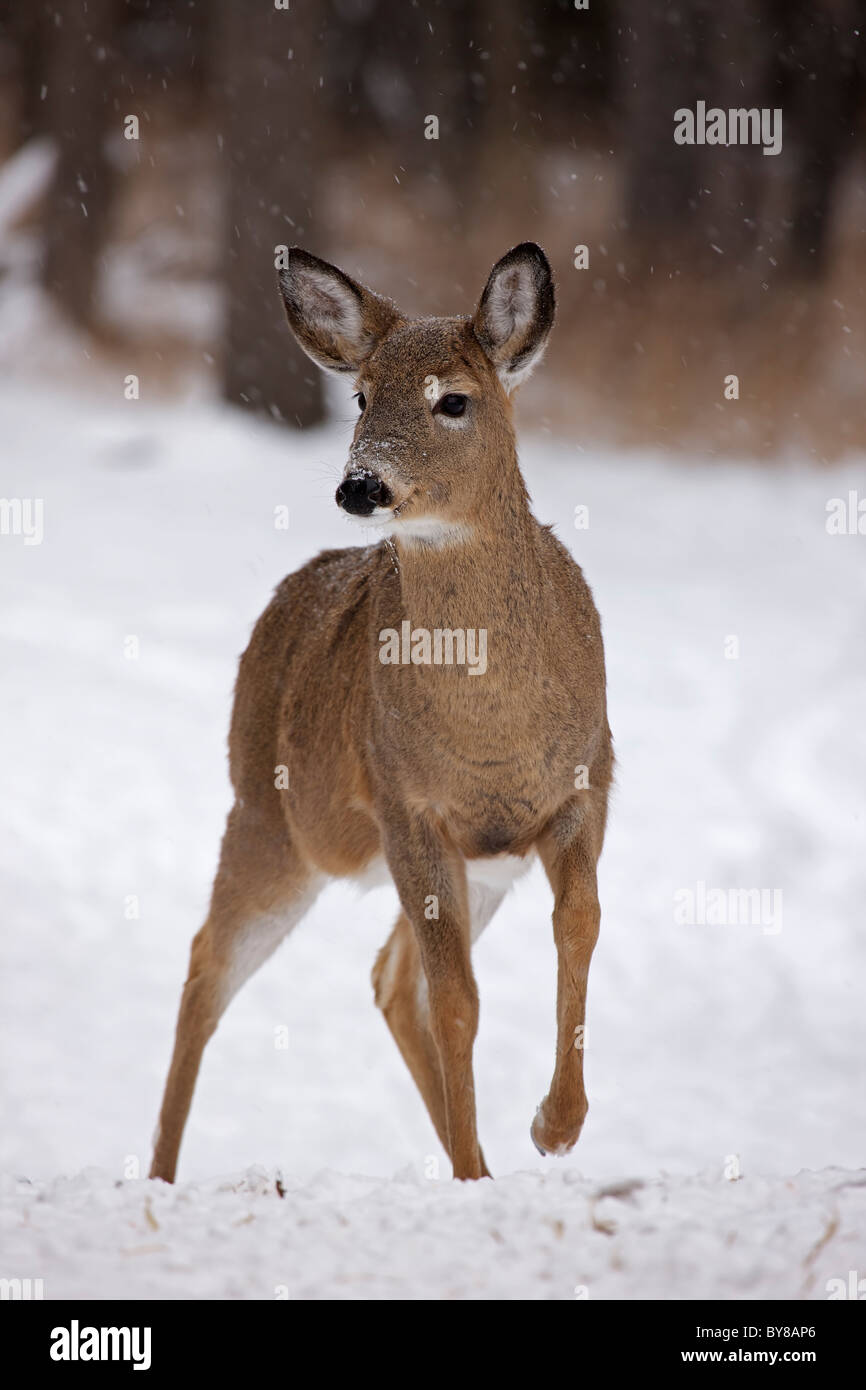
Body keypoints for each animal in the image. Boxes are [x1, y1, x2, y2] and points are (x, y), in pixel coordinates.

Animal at [149, 243, 613, 1183]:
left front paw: (556, 1124)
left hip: (469, 868)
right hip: (272, 818)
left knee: (388, 978)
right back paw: (160, 1178)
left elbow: (578, 925)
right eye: (360, 397)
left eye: (454, 399)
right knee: (209, 963)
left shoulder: (585, 783)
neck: (497, 731)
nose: (361, 485)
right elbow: (459, 1000)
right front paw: (502, 1153)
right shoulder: (409, 807)